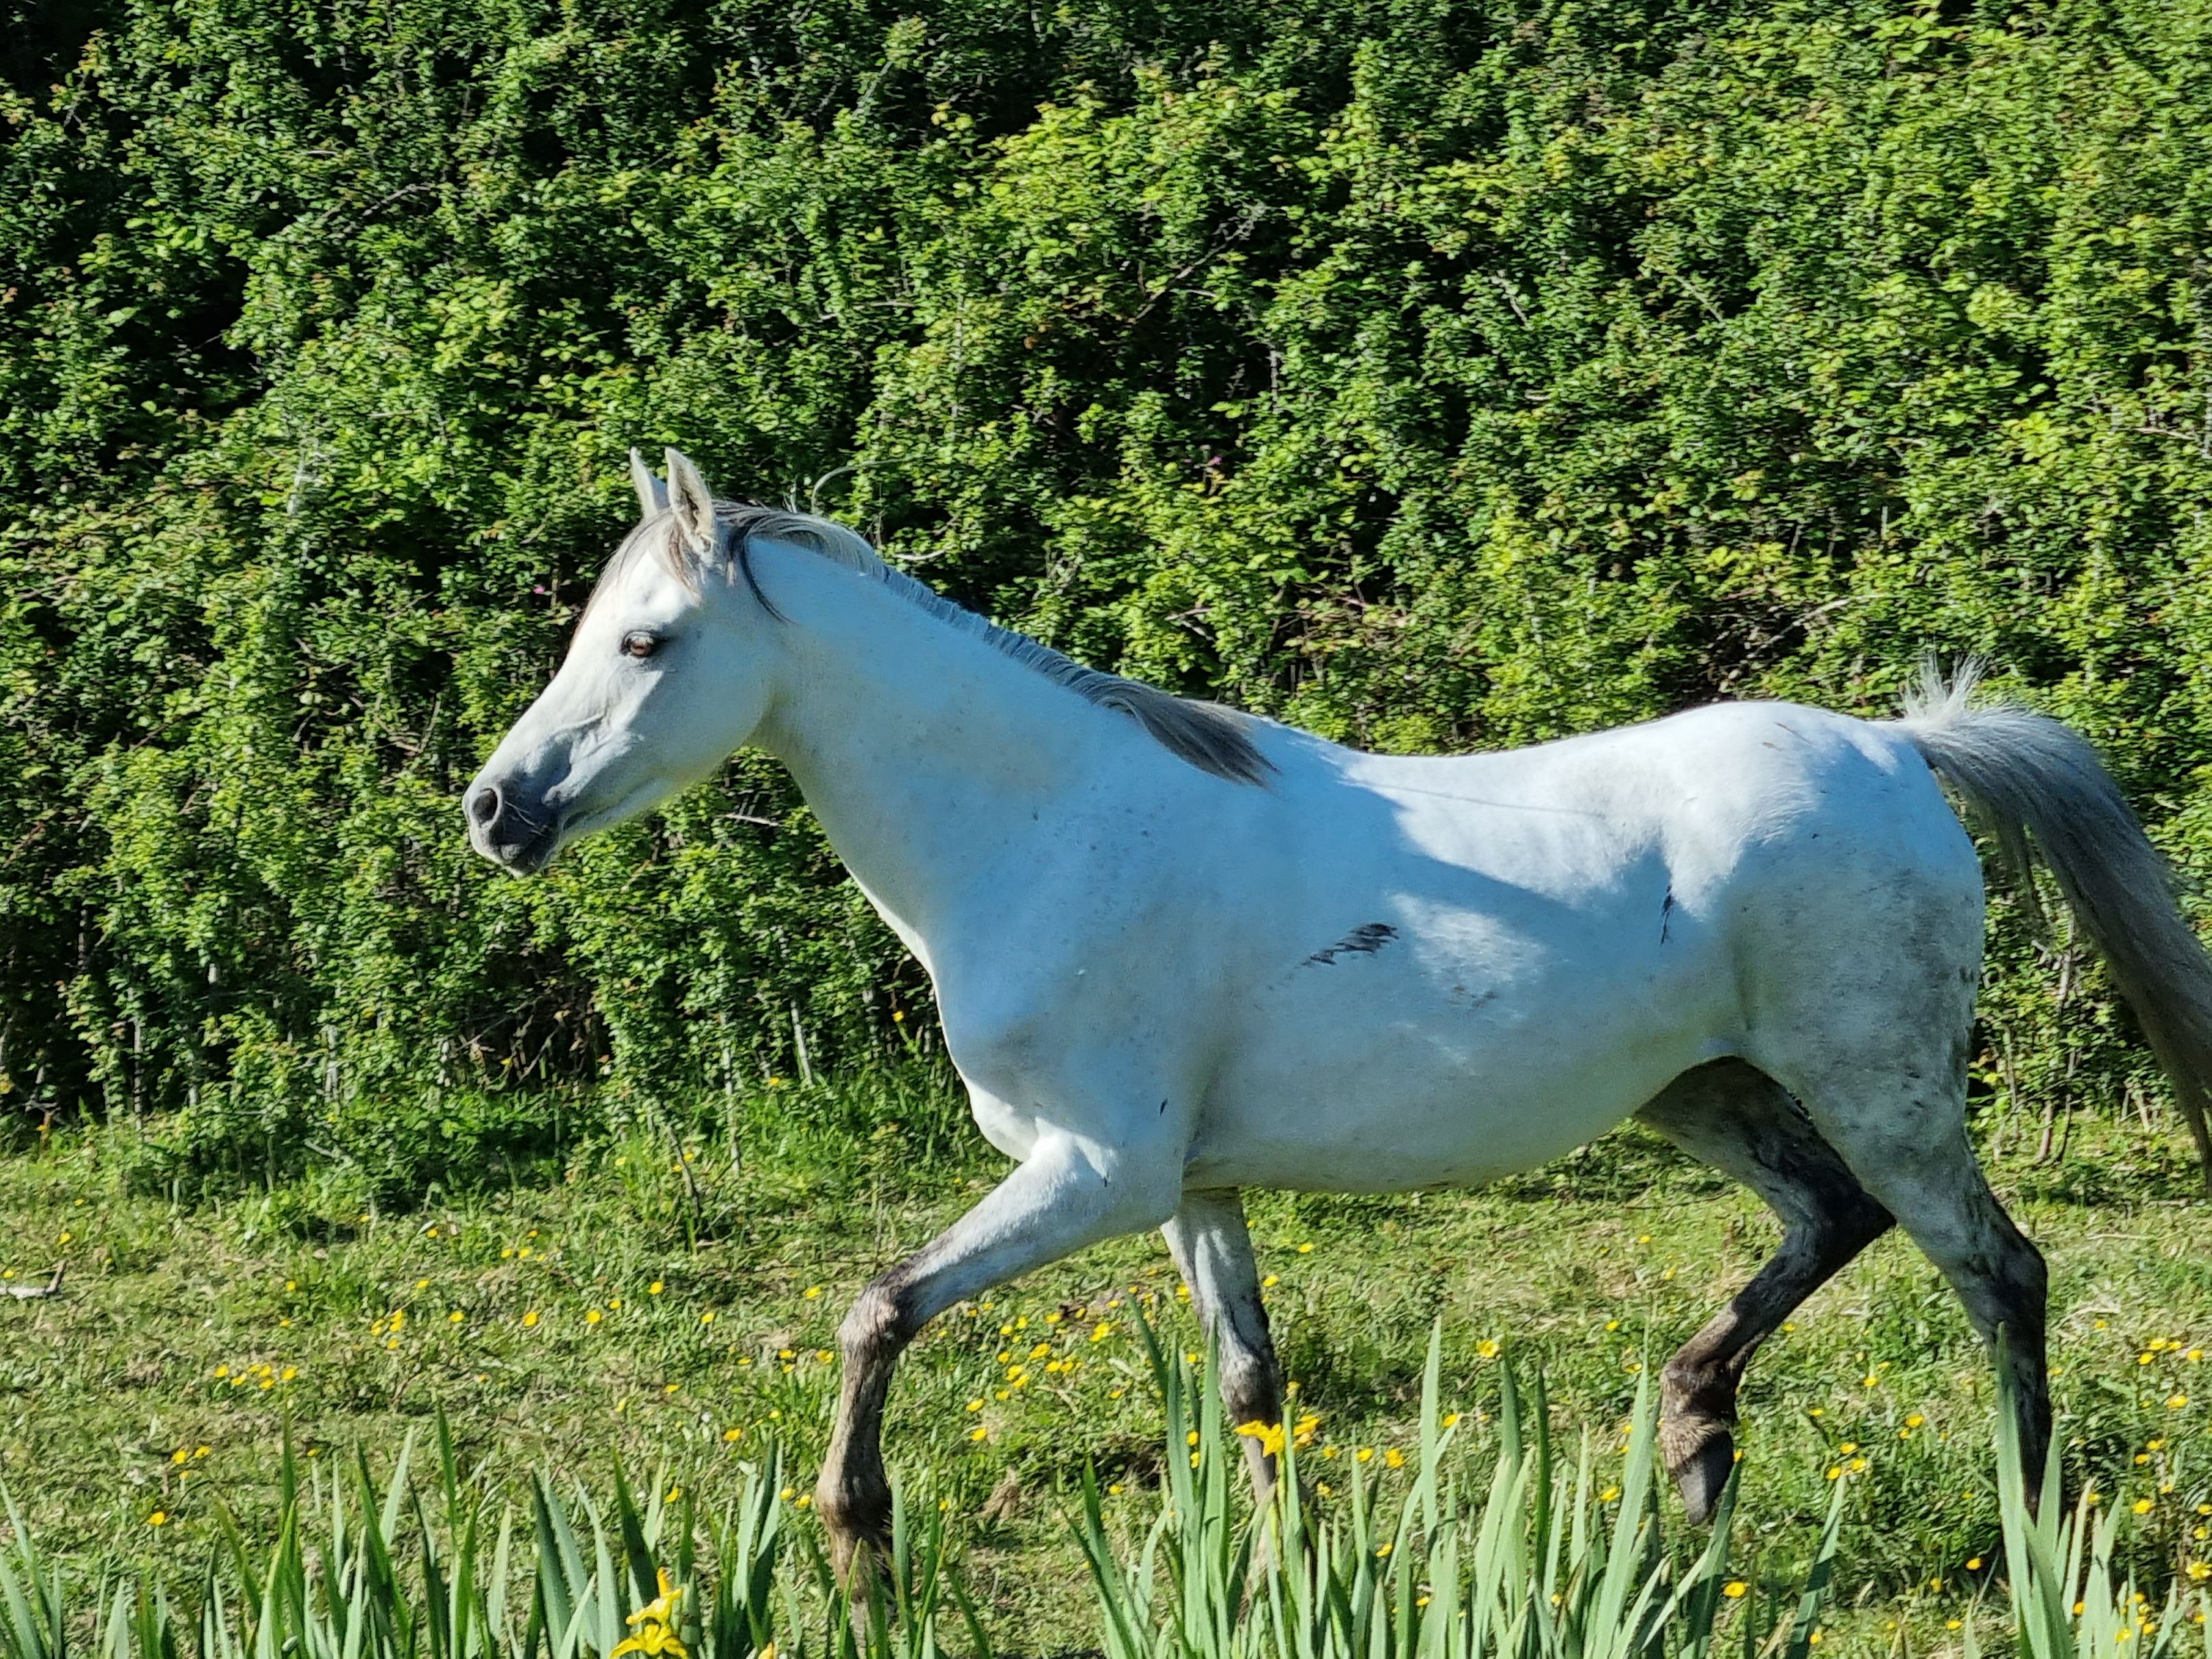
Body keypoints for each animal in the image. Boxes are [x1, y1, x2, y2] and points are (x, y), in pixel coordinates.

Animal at [467, 447, 2212, 1582]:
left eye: (646, 640)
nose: (497, 810)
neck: (1047, 828)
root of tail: (1899, 747)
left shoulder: (1092, 1172)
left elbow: (874, 1307)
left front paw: (857, 1539)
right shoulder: (1191, 1187)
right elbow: (1251, 1387)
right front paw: (1282, 1581)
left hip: (1880, 1081)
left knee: (1996, 1270)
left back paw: (2030, 1530)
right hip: (1705, 1088)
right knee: (1828, 1222)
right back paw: (1690, 1455)